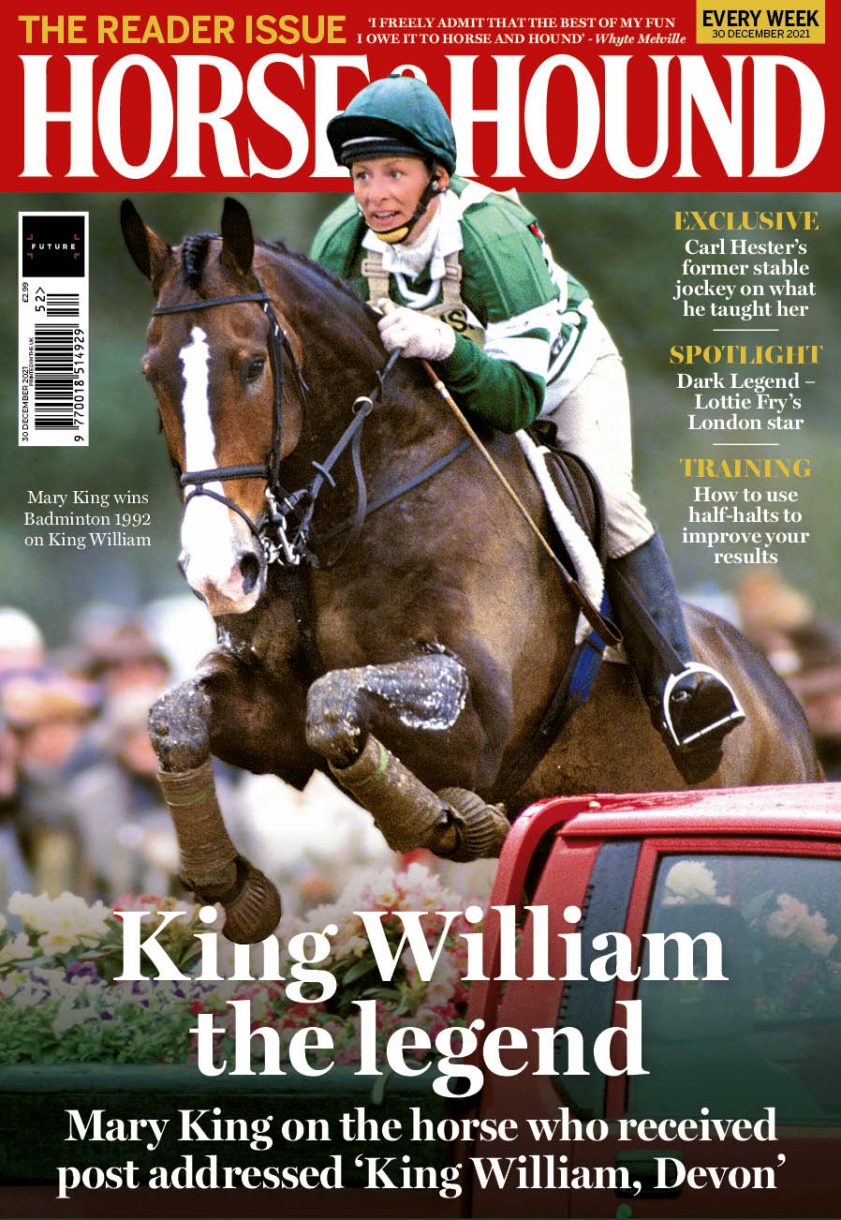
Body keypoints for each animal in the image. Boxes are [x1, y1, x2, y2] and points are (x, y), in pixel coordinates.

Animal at [121, 197, 822, 943]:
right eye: (151, 373)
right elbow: (178, 716)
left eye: (252, 363)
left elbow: (333, 702)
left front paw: (449, 819)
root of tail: (782, 702)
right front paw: (229, 884)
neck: (362, 496)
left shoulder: (477, 724)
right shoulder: (274, 728)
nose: (220, 572)